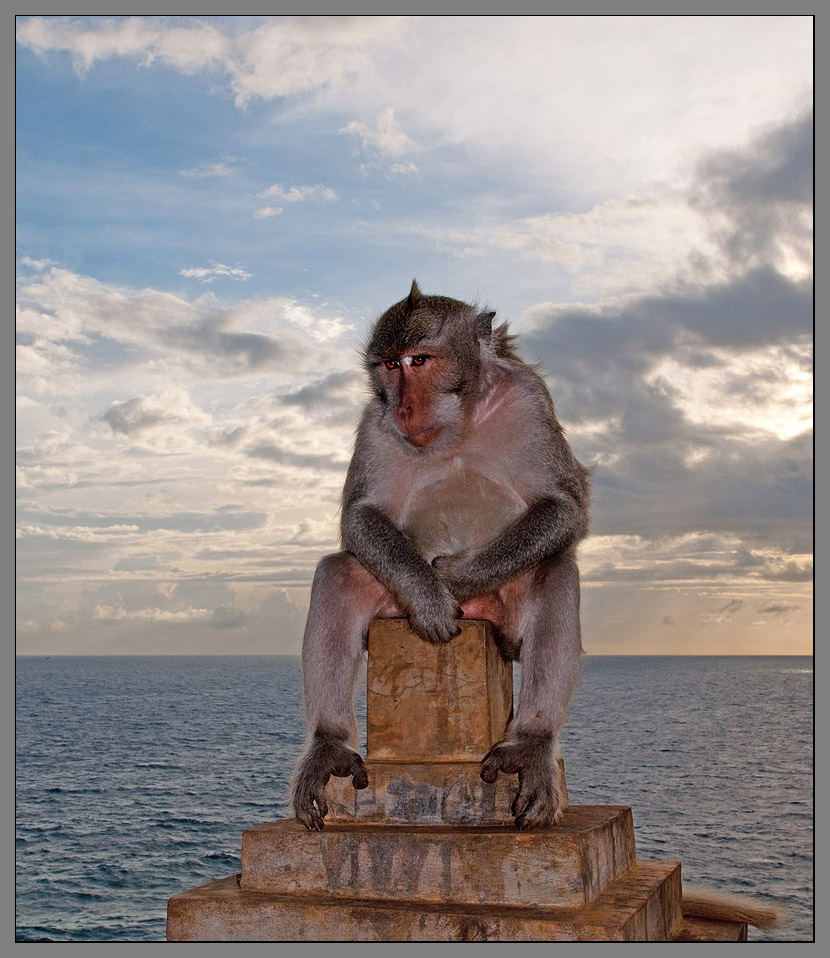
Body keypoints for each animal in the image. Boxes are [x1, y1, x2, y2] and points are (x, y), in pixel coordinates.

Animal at [291, 280, 591, 832]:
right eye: (390, 365)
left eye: (420, 359)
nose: (405, 408)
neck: (462, 423)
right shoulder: (376, 423)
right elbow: (360, 518)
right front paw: (430, 596)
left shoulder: (530, 401)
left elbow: (564, 508)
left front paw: (452, 579)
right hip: (392, 607)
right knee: (339, 574)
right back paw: (329, 745)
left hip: (503, 623)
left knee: (555, 571)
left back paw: (531, 745)